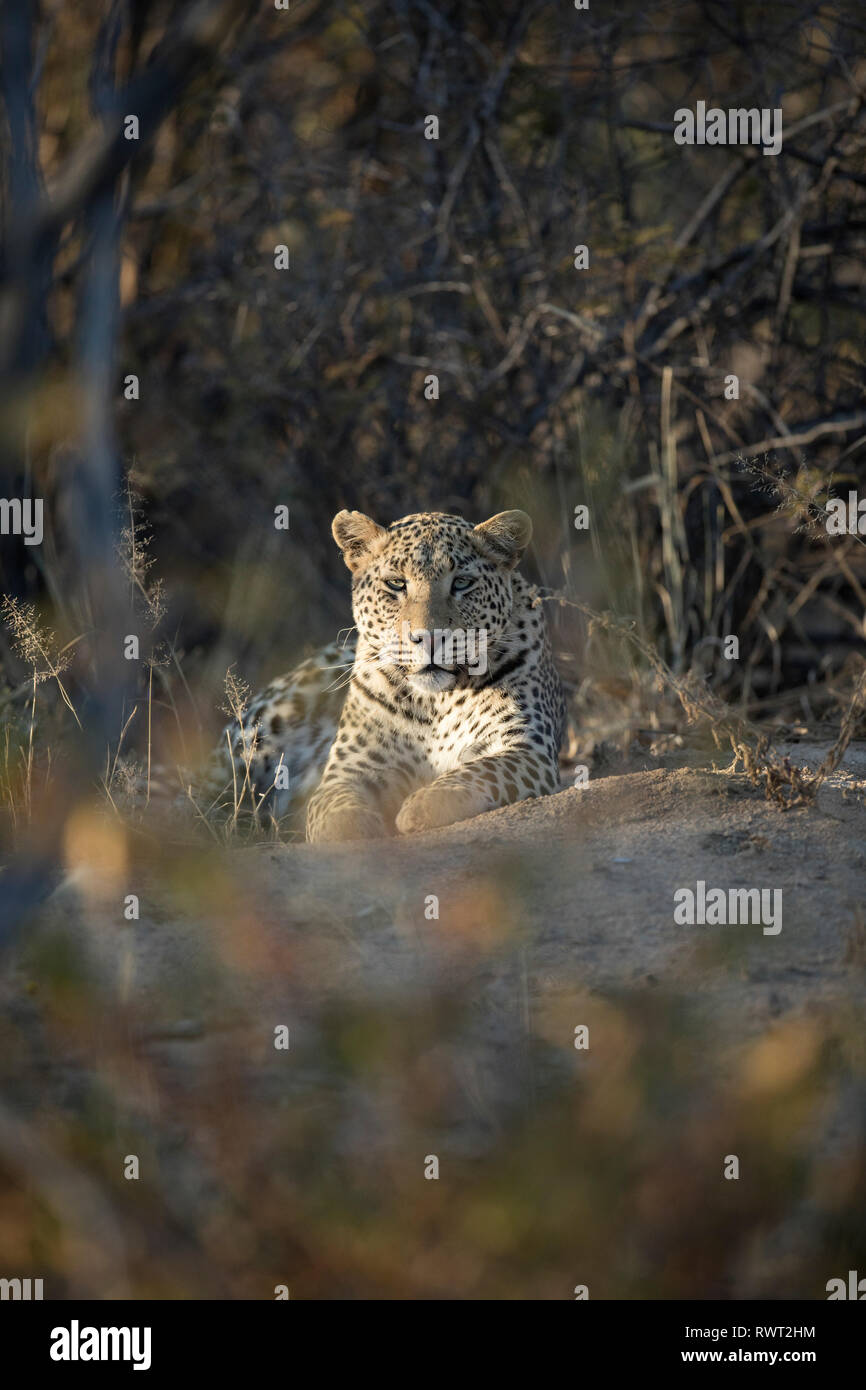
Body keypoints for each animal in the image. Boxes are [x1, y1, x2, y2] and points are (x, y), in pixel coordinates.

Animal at [203, 508, 566, 842]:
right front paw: (351, 831)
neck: (435, 701)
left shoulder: (524, 749)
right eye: (396, 584)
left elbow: (476, 773)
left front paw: (421, 807)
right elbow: (336, 807)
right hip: (263, 726)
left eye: (462, 583)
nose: (429, 638)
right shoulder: (350, 767)